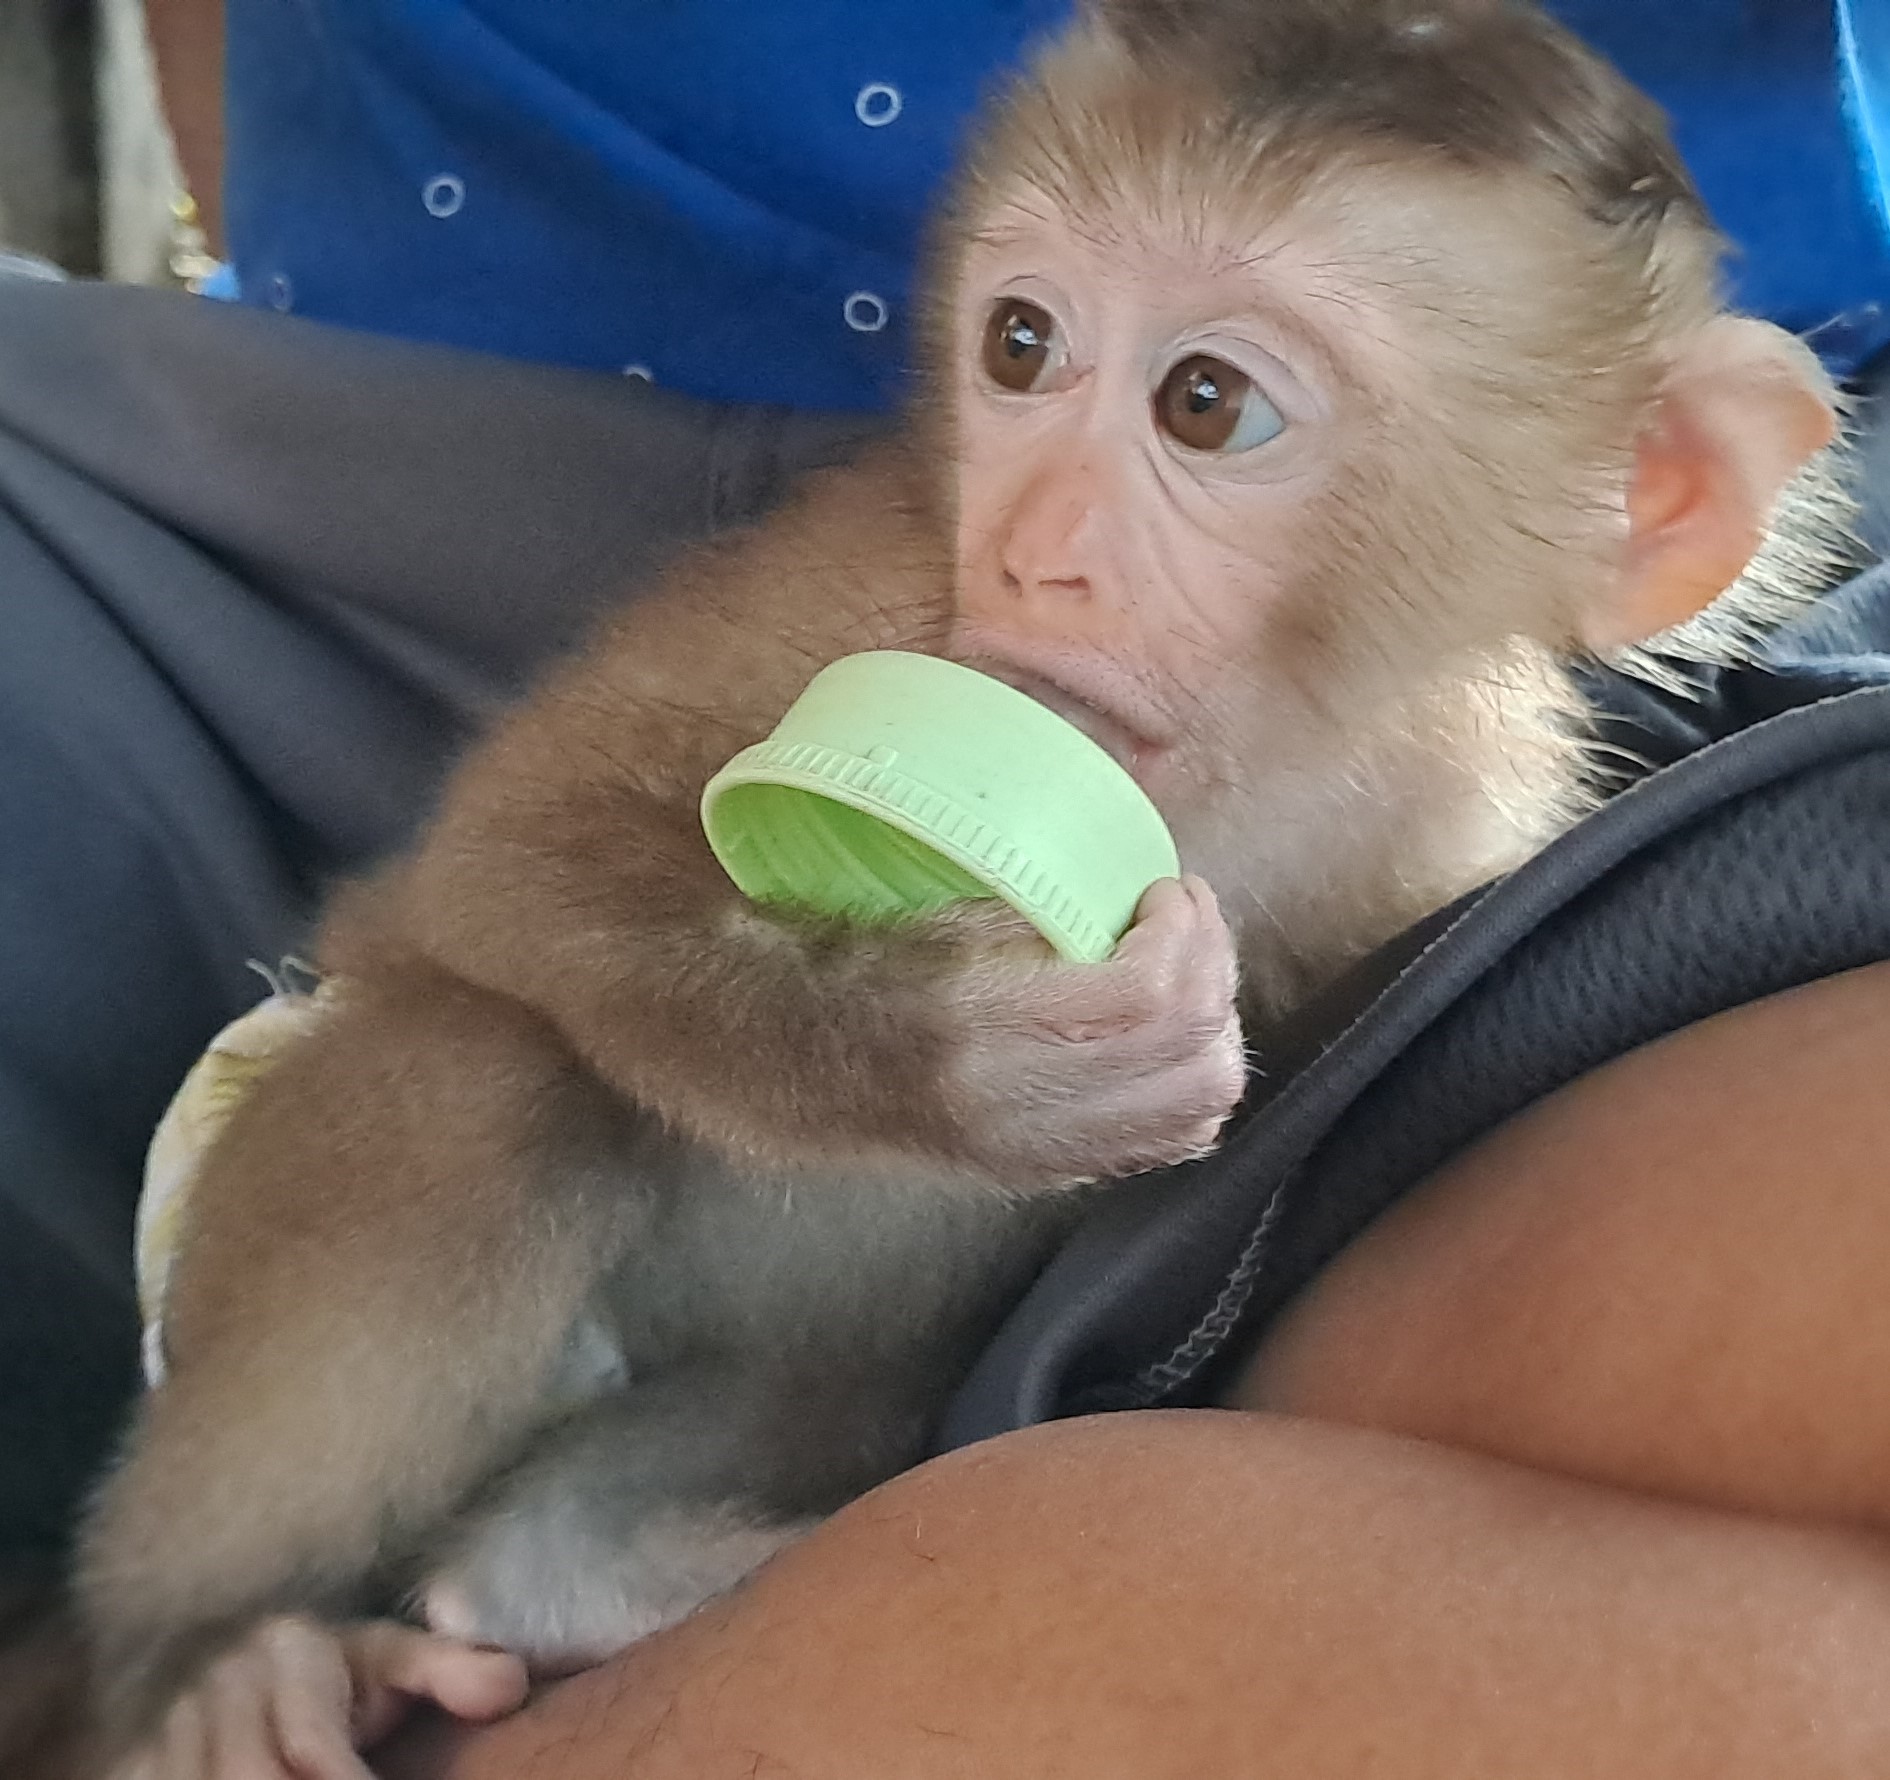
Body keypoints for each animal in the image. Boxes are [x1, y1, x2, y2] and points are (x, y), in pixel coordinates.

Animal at [75, 0, 1851, 1772]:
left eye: (1206, 403)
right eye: (1017, 346)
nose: (1033, 555)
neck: (1248, 764)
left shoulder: (1462, 807)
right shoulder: (866, 587)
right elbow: (504, 867)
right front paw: (961, 1059)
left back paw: (562, 1570)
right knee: (483, 1080)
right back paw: (194, 1659)